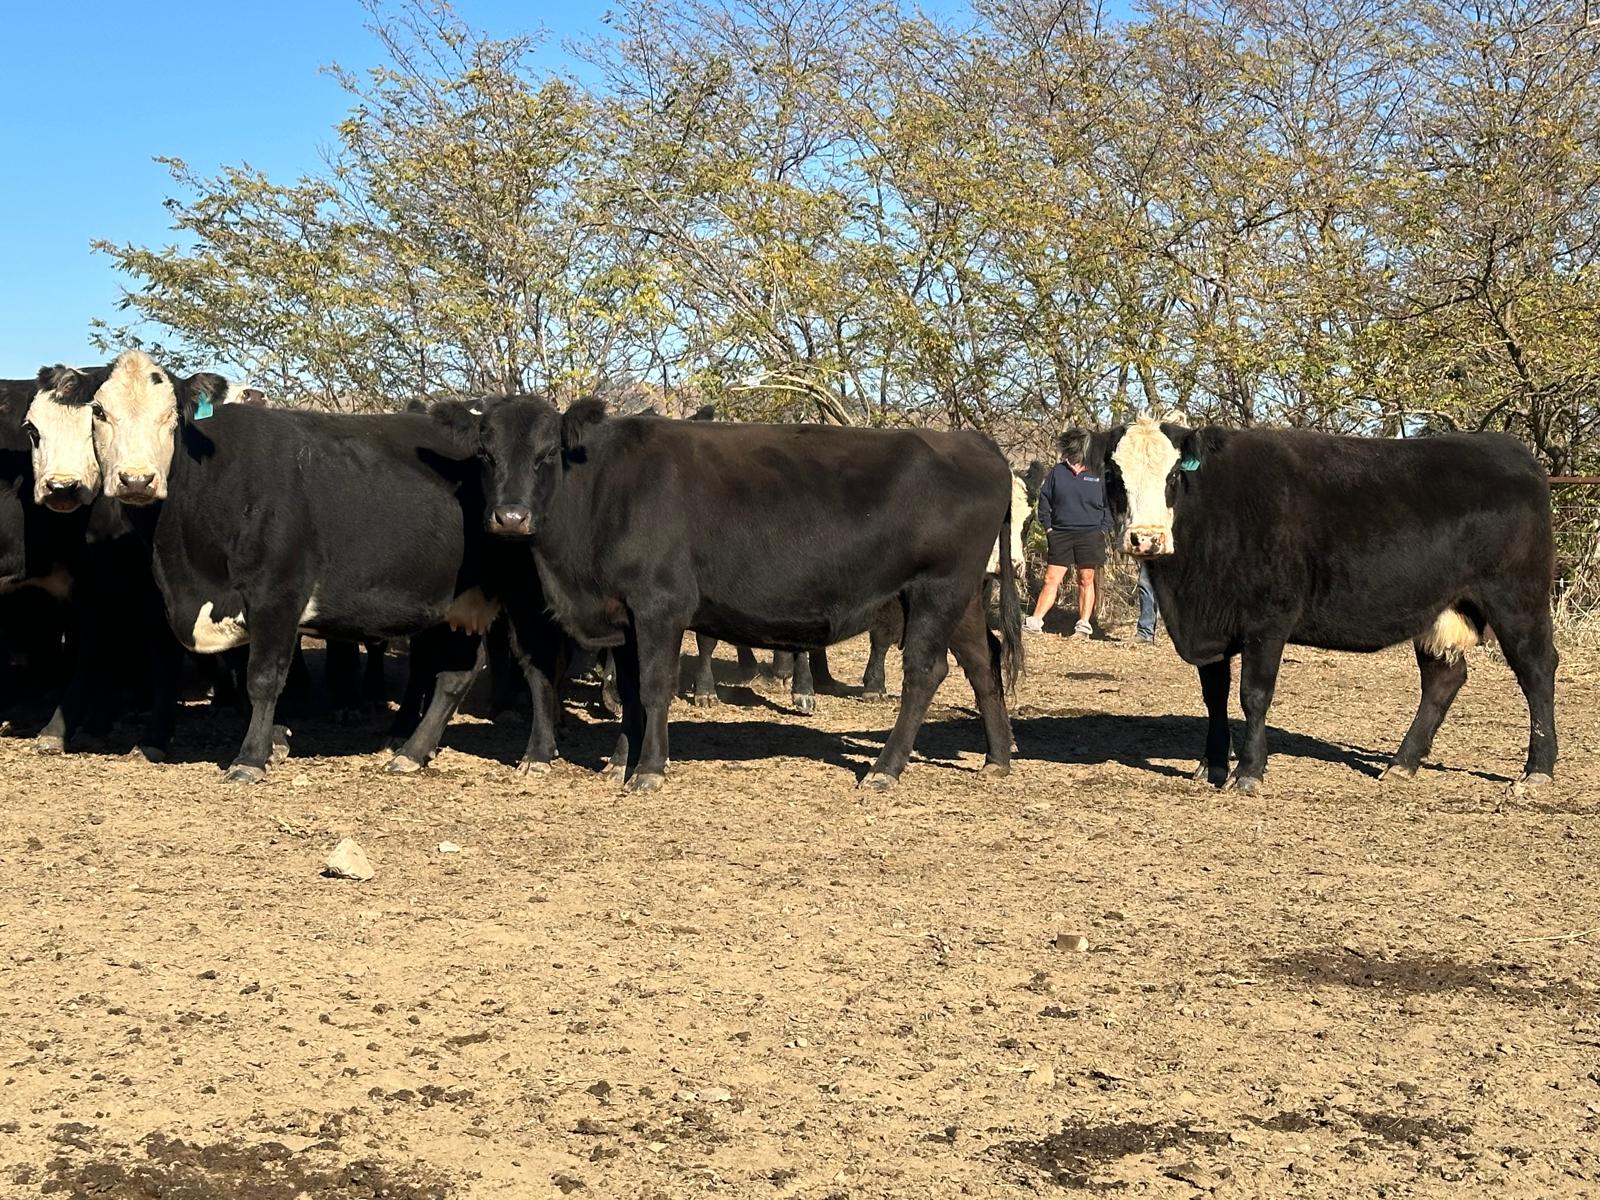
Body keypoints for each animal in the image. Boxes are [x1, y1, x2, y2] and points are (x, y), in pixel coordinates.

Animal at [50, 350, 567, 782]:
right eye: (99, 412)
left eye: (172, 416)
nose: (137, 480)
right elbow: (188, 670)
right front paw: (261, 742)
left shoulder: (277, 593)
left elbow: (262, 678)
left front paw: (250, 758)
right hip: (458, 599)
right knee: (457, 671)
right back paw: (412, 751)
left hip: (521, 591)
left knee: (535, 662)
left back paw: (538, 753)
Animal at [434, 395, 1022, 792]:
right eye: (485, 454)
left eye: (546, 453)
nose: (511, 517)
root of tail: (974, 442)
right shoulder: (623, 616)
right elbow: (629, 689)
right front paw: (618, 761)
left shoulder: (661, 605)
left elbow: (654, 687)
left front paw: (648, 770)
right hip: (962, 598)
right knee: (981, 663)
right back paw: (997, 758)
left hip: (936, 590)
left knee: (925, 672)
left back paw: (884, 769)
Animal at [1104, 415, 1557, 795]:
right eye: (1113, 475)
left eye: (1174, 475)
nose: (1147, 538)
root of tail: (1508, 450)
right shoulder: (1209, 626)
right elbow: (1215, 696)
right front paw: (1210, 765)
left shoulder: (1267, 620)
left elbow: (1254, 694)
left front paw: (1248, 772)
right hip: (1439, 608)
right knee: (1443, 679)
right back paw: (1402, 764)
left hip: (1517, 599)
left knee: (1536, 669)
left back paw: (1537, 771)